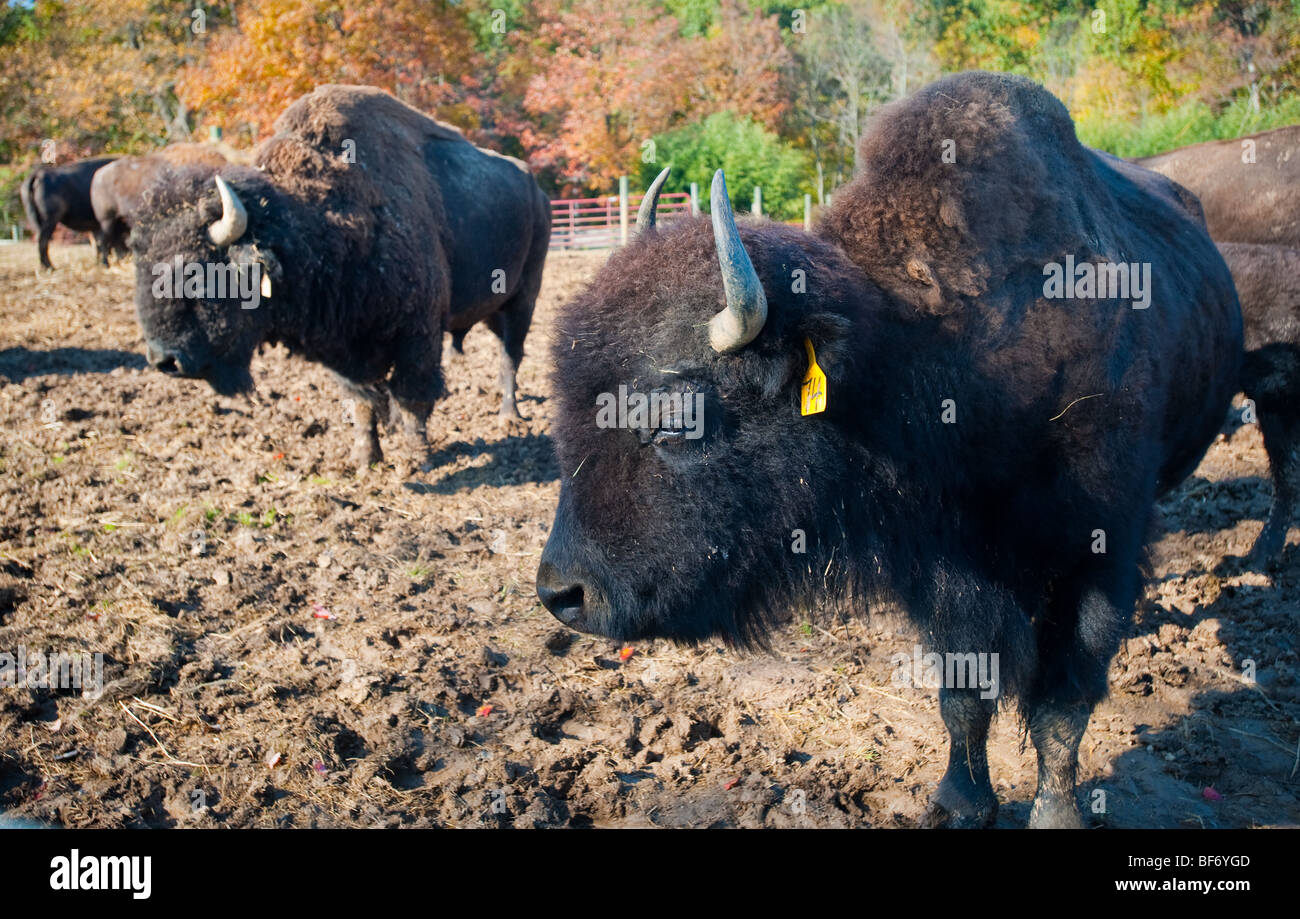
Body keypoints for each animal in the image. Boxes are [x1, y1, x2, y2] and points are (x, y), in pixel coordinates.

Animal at [128, 84, 550, 465]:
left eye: (198, 275)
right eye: (143, 269)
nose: (164, 360)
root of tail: (538, 190)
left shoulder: (419, 333)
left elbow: (412, 392)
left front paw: (418, 456)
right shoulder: (345, 347)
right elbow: (363, 400)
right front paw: (365, 459)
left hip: (523, 299)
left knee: (510, 356)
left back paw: (510, 417)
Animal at [537, 72, 1241, 828]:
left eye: (675, 419)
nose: (561, 593)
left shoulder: (1098, 552)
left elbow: (1063, 702)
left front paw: (1055, 812)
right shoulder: (949, 566)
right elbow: (965, 691)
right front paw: (962, 801)